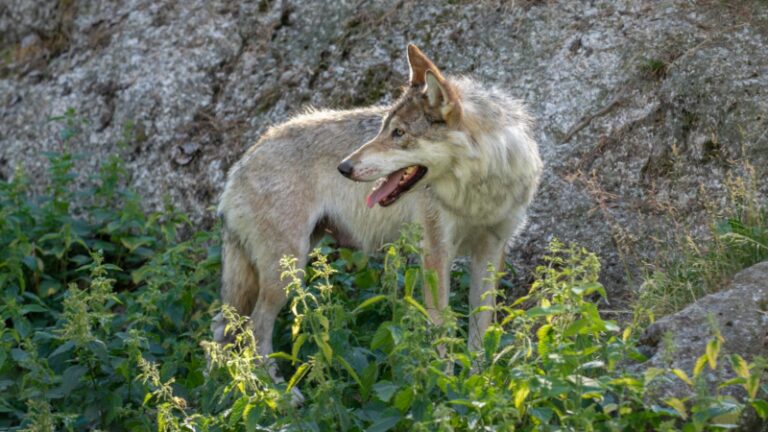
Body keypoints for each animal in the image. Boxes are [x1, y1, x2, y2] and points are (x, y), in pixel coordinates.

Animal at [212, 44, 542, 397]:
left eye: (398, 133)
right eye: (383, 128)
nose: (343, 167)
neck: (479, 187)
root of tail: (242, 163)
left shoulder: (491, 252)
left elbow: (480, 329)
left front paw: (478, 384)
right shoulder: (435, 255)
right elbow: (440, 327)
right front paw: (443, 387)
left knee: (225, 330)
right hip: (287, 274)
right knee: (253, 331)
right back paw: (279, 394)